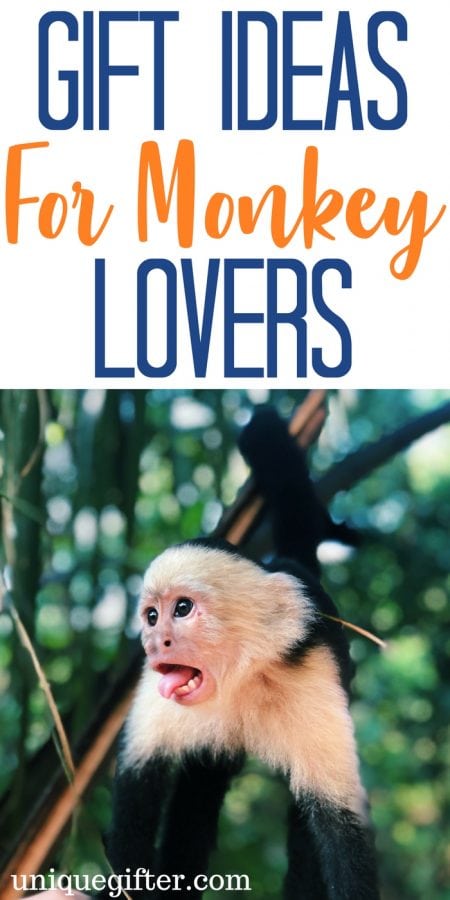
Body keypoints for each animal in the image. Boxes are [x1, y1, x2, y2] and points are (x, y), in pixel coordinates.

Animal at [103, 408, 379, 900]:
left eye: (183, 609)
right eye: (151, 616)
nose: (153, 642)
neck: (240, 678)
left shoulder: (311, 675)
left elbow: (335, 819)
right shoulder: (158, 692)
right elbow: (138, 783)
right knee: (200, 787)